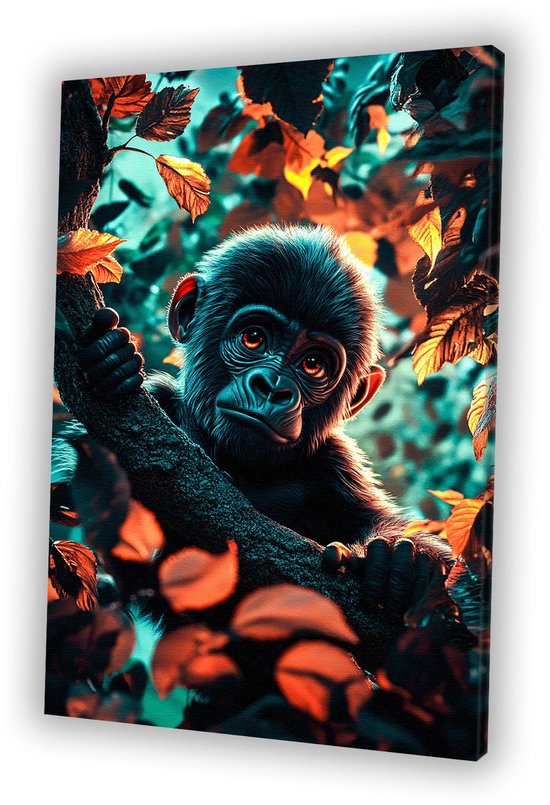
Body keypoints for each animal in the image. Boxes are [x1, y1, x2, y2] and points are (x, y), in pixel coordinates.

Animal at [76, 223, 451, 616]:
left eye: (313, 364)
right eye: (253, 338)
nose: (273, 387)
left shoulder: (336, 463)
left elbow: (374, 519)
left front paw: (405, 562)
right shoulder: (159, 402)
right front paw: (112, 360)